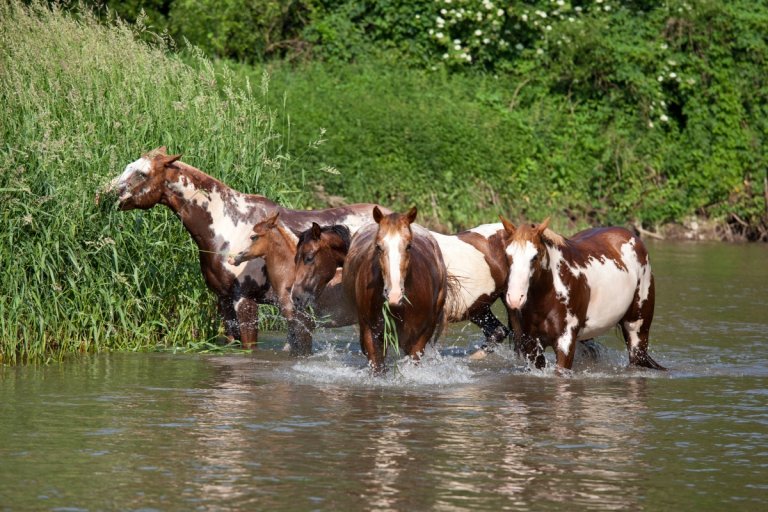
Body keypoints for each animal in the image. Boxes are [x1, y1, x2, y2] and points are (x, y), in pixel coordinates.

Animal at [107, 146, 386, 351]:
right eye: (128, 166)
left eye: (142, 174)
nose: (107, 195)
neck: (227, 228)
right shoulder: (223, 300)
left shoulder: (246, 300)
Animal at [499, 216, 666, 372]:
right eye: (507, 255)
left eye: (535, 256)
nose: (515, 298)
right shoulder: (532, 344)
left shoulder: (565, 342)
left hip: (637, 332)